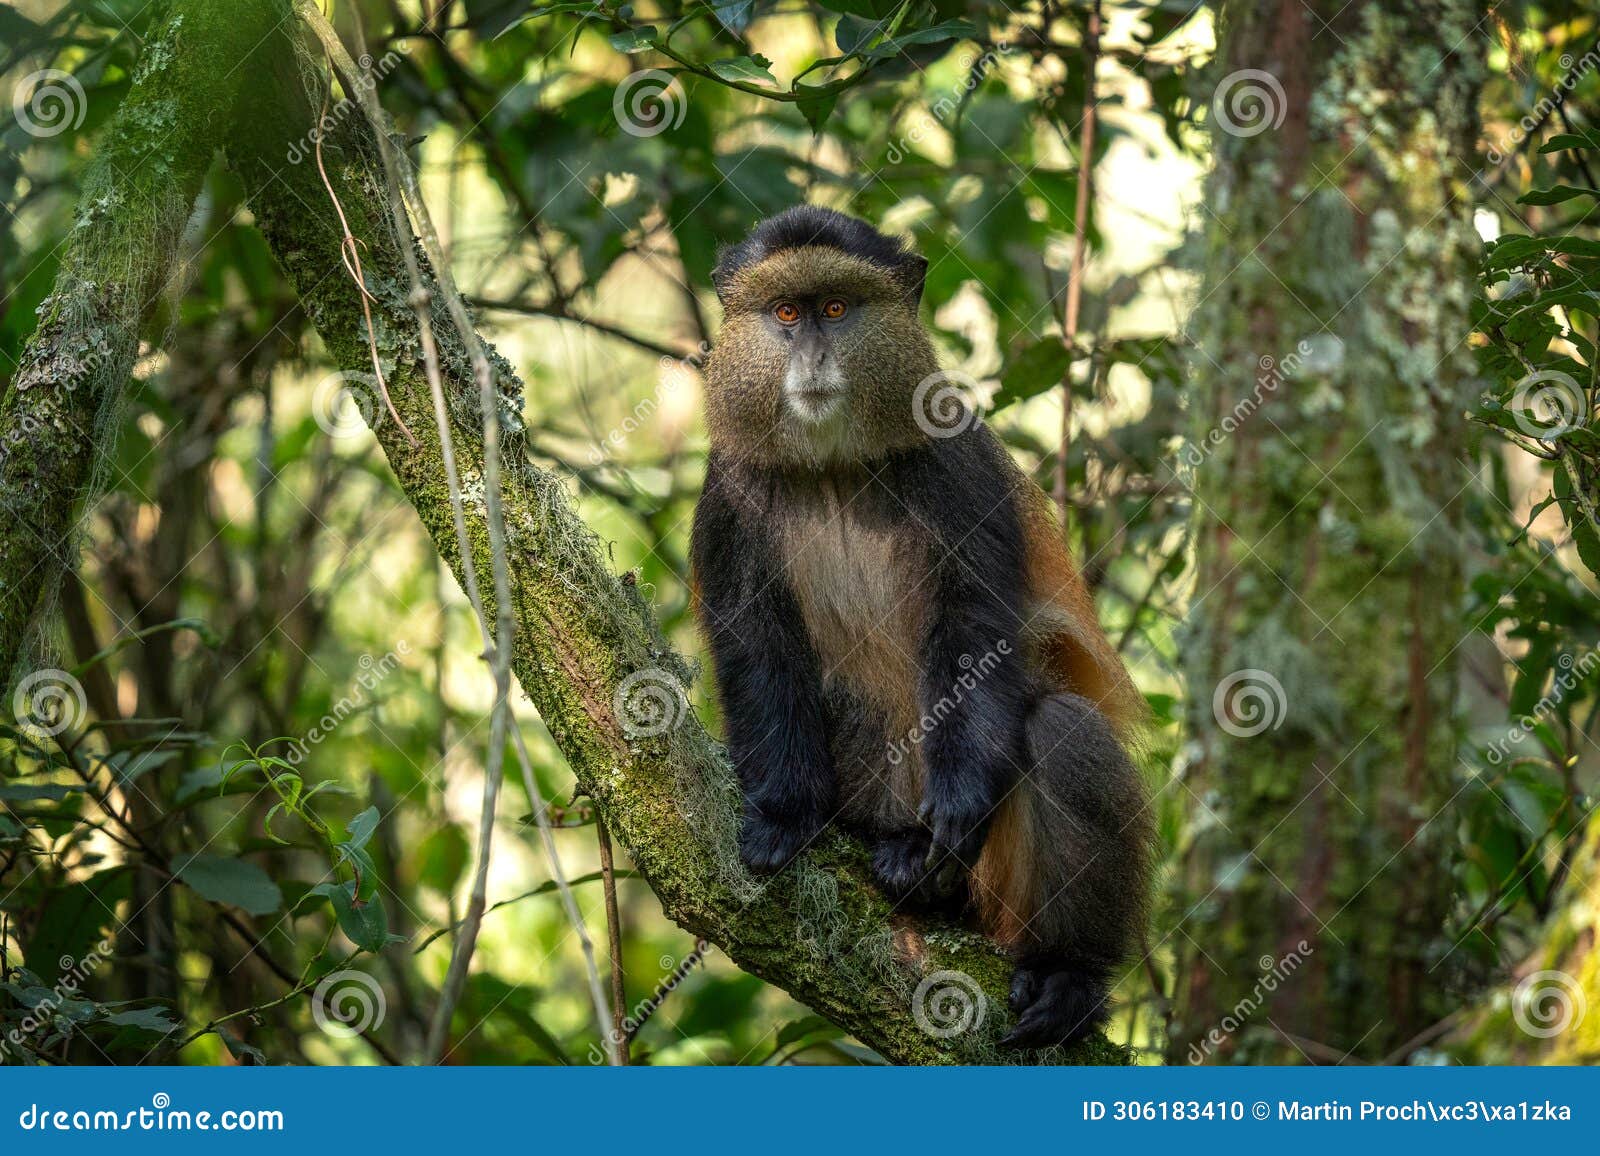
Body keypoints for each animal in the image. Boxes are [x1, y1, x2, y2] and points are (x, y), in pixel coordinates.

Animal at [689, 205, 1153, 1049]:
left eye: (838, 309)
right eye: (785, 313)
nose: (811, 357)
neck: (835, 466)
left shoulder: (956, 466)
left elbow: (976, 631)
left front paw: (960, 805)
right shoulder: (727, 498)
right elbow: (757, 646)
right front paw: (783, 815)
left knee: (1064, 731)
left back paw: (1064, 972)